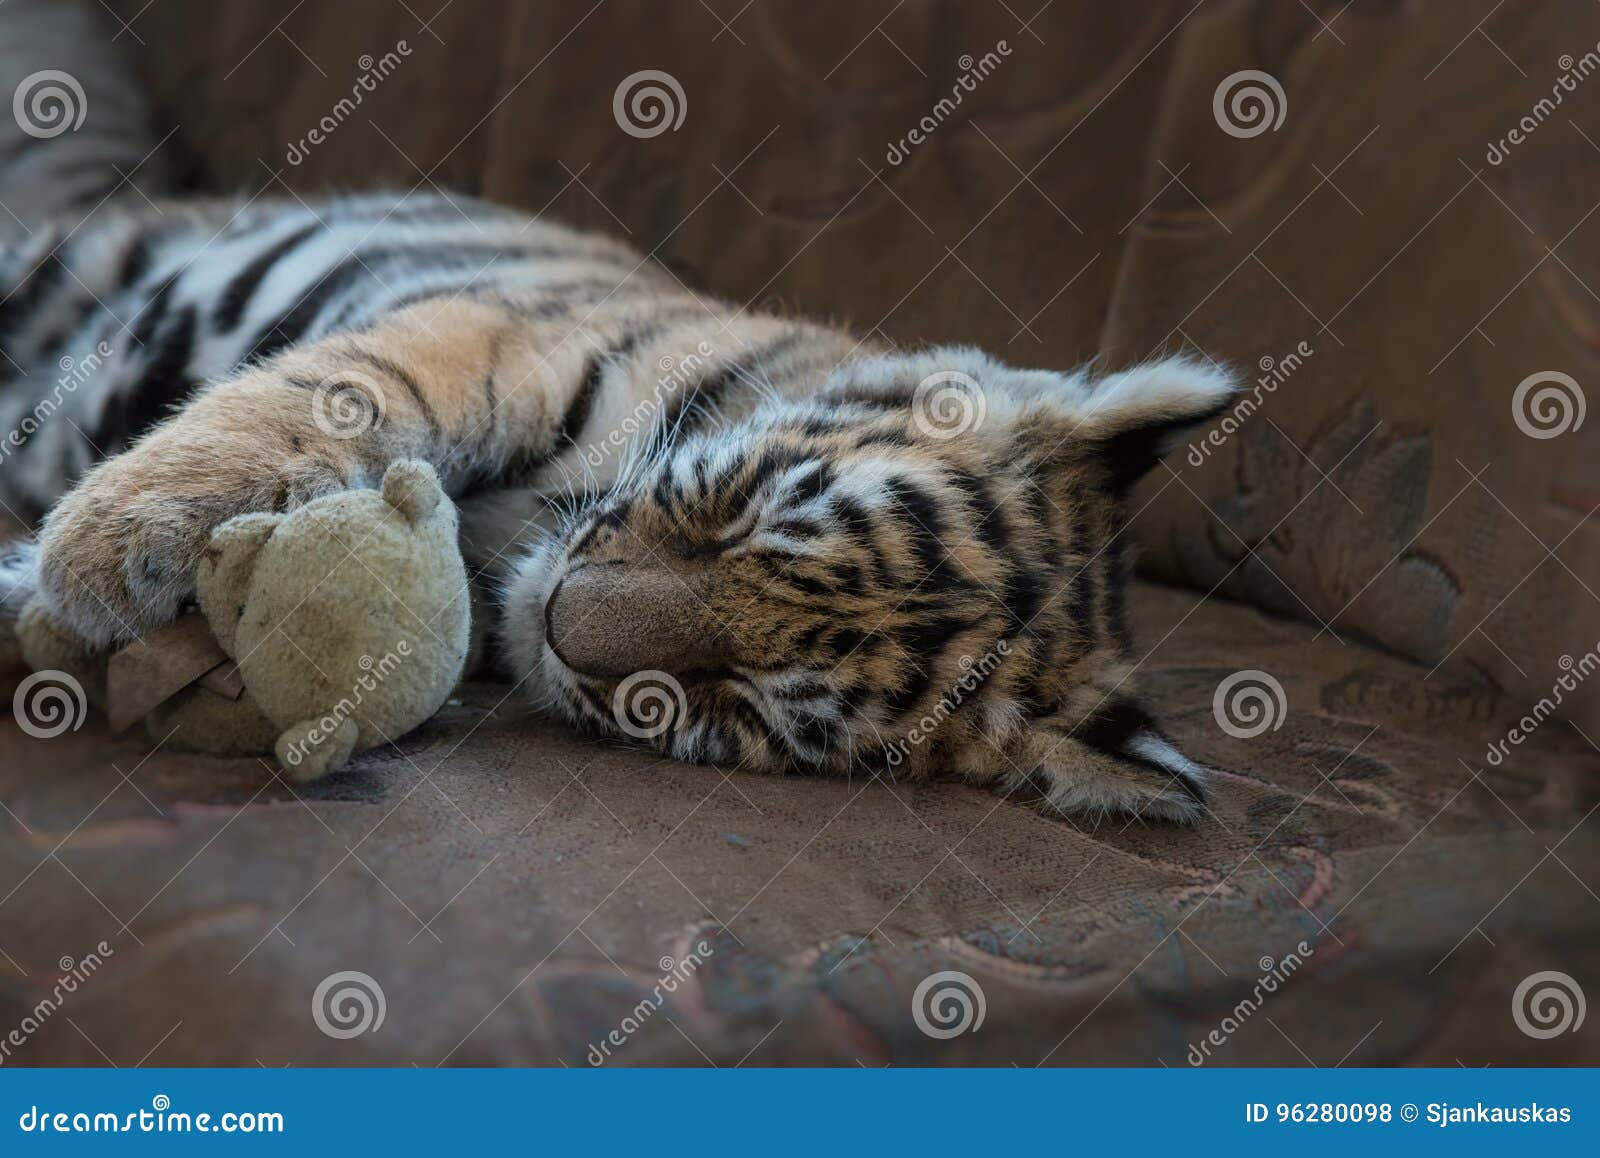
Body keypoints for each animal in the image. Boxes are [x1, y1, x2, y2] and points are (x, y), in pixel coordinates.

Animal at [0, 0, 1239, 823]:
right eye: (734, 507)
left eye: (742, 704)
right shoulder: (506, 337)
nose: (556, 620)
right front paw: (104, 549)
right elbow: (341, 395)